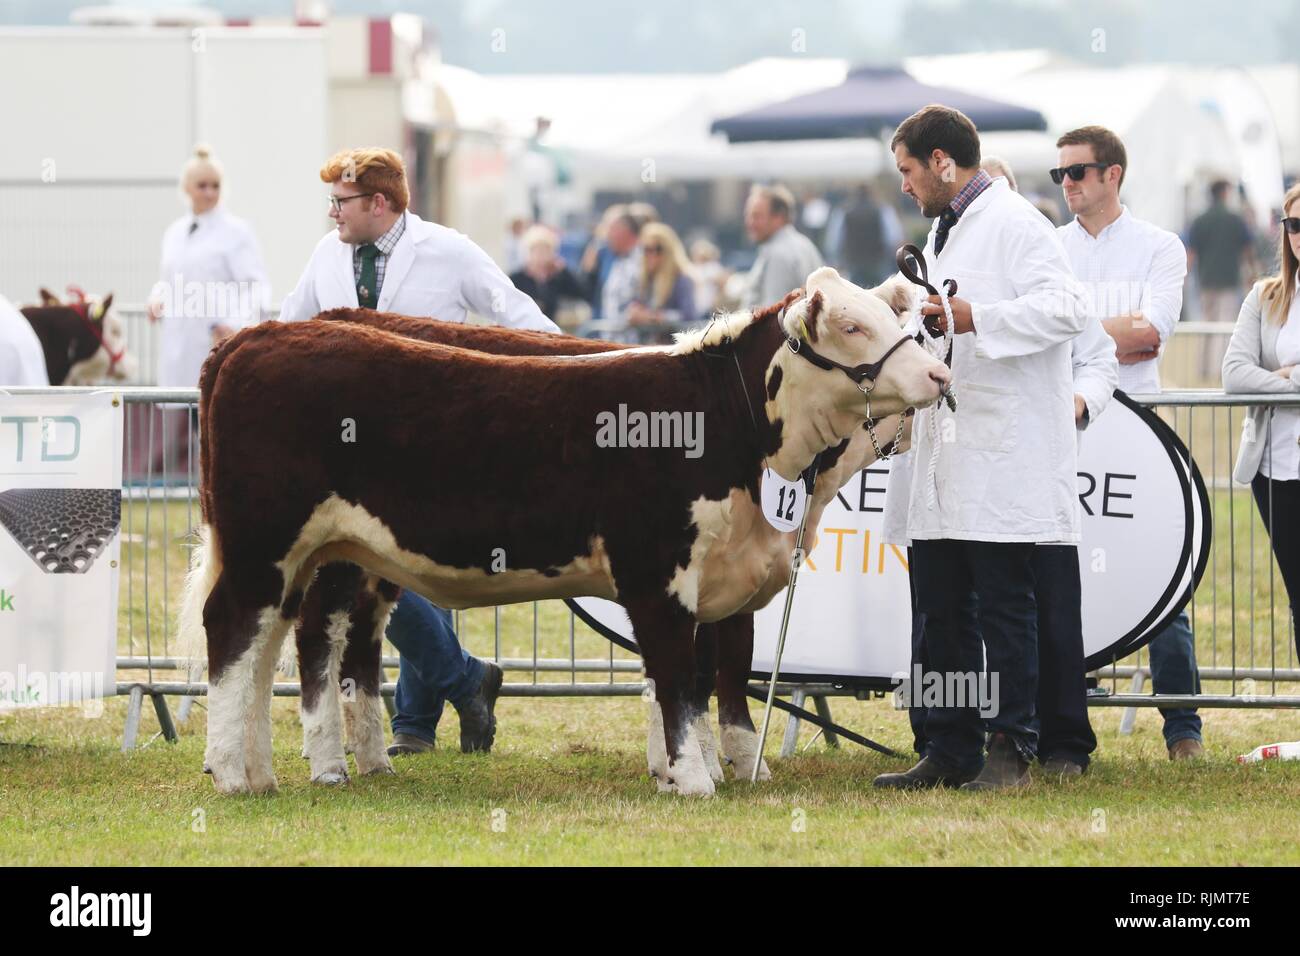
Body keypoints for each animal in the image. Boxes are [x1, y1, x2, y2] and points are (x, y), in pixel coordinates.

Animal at [181, 266, 947, 796]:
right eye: (852, 328)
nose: (940, 374)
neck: (723, 420)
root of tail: (259, 336)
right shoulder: (658, 571)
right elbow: (681, 677)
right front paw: (696, 777)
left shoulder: (723, 573)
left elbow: (697, 678)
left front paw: (692, 768)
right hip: (267, 541)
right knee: (244, 632)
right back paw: (240, 772)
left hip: (316, 552)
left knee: (275, 643)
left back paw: (278, 769)